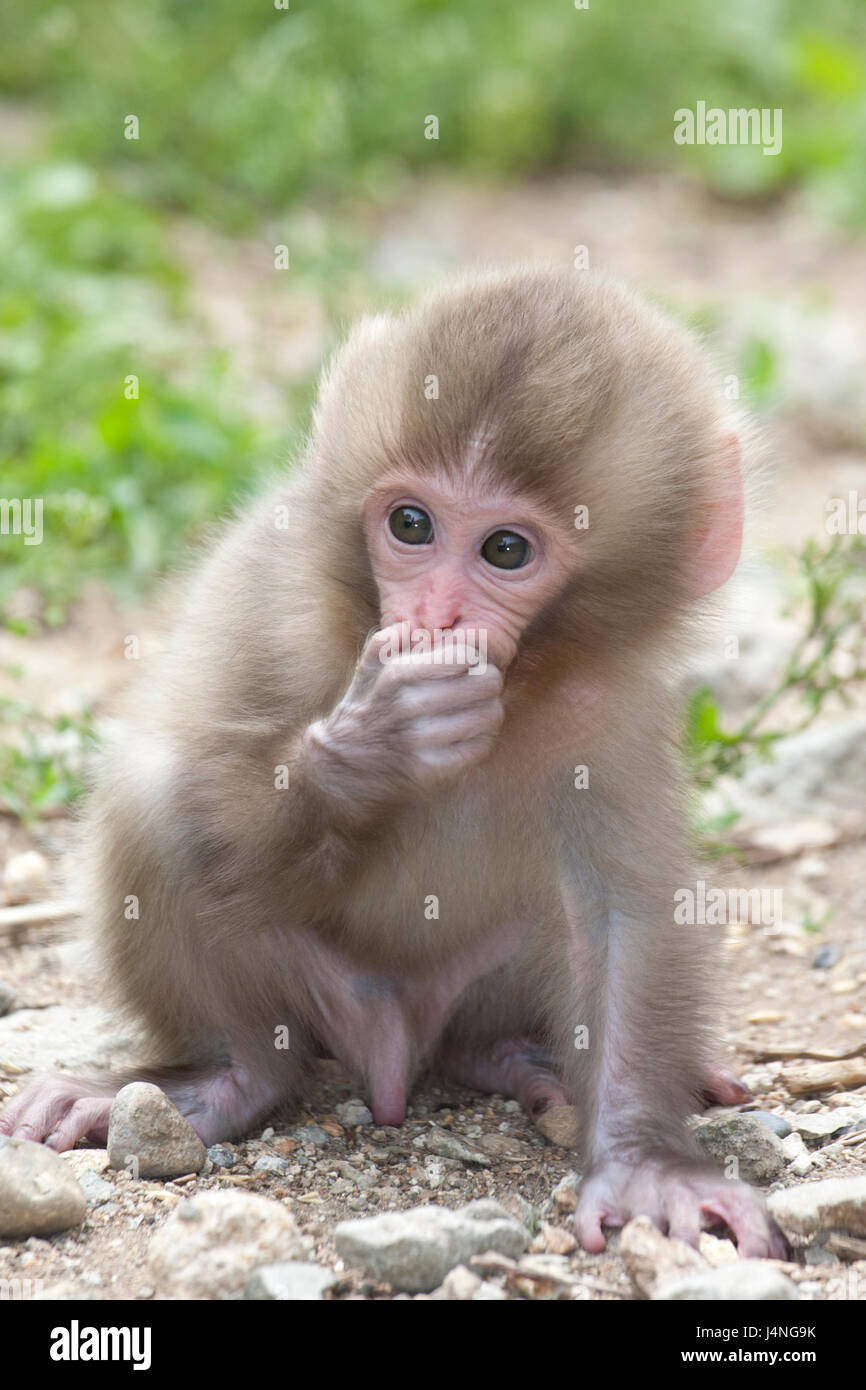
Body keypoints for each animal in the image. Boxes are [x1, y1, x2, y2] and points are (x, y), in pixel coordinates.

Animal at [1, 266, 786, 1257]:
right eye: (411, 524)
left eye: (505, 548)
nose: (436, 618)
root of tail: (392, 1043)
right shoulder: (275, 593)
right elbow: (191, 767)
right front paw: (373, 745)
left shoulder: (613, 703)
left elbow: (620, 910)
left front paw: (648, 1160)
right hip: (323, 998)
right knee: (157, 804)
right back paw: (223, 1079)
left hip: (470, 991)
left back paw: (515, 1058)